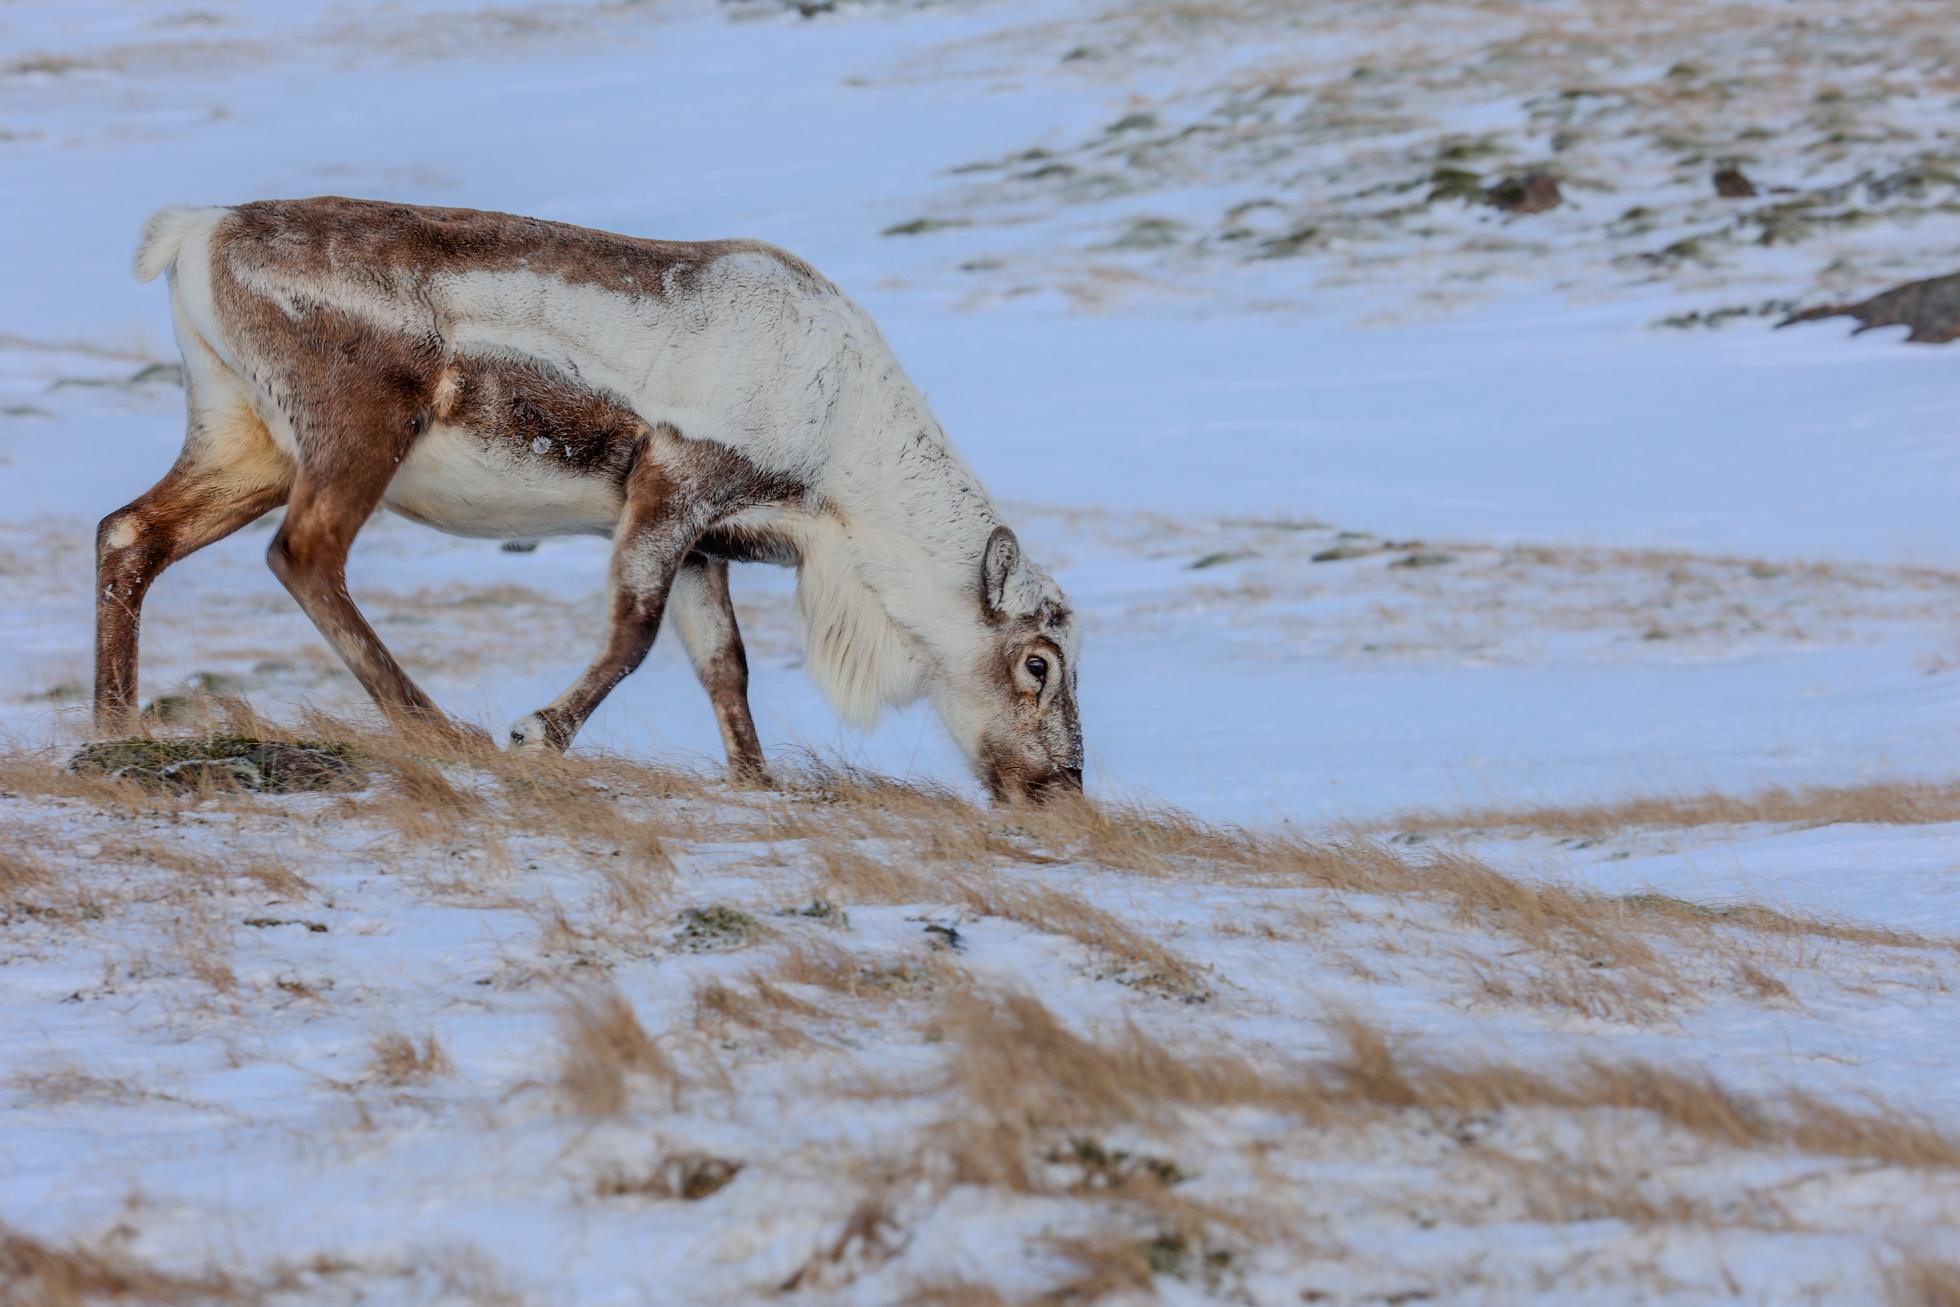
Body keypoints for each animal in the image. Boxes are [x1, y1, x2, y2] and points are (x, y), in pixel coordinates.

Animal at [97, 198, 1084, 803]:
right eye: (1039, 663)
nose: (1061, 789)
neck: (840, 465)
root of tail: (195, 232)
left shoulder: (706, 541)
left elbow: (725, 665)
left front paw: (756, 781)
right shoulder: (672, 483)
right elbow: (633, 634)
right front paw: (537, 732)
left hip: (244, 440)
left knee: (128, 532)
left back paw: (112, 724)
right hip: (358, 429)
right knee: (303, 554)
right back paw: (437, 725)